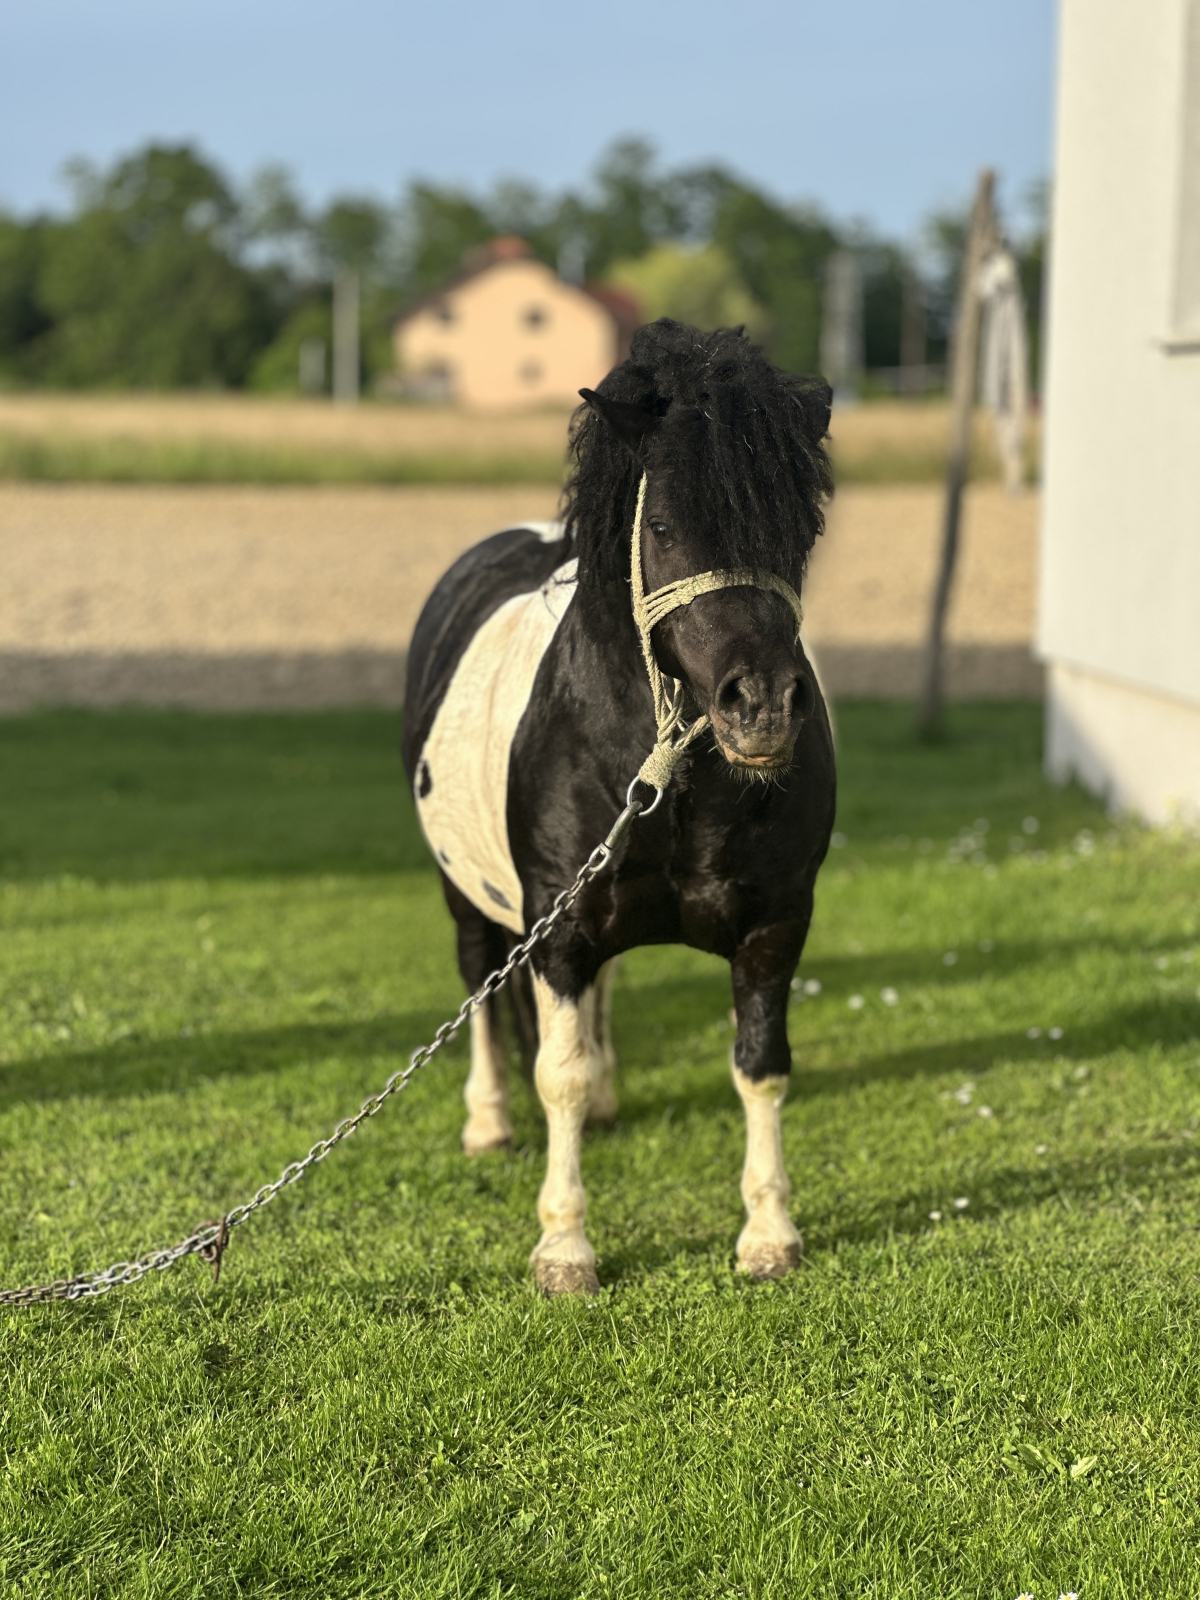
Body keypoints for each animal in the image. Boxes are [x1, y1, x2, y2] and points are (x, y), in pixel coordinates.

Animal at [402, 318, 836, 1295]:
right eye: (666, 524)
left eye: (800, 529)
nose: (763, 706)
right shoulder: (558, 930)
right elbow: (553, 1071)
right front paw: (564, 1250)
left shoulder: (776, 925)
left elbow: (761, 1067)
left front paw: (770, 1234)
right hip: (466, 895)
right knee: (479, 985)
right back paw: (489, 1121)